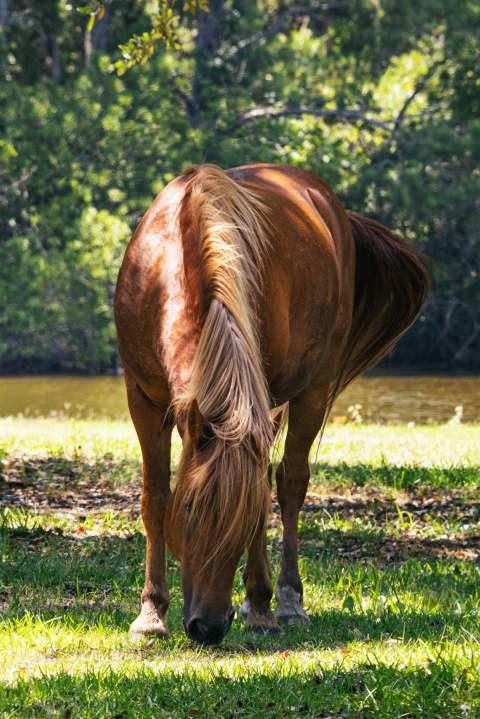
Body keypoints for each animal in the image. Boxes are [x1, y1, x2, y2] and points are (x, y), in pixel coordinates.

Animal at [114, 163, 429, 645]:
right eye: (189, 509)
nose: (208, 627)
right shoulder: (143, 397)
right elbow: (155, 497)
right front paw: (150, 613)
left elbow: (263, 495)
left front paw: (261, 606)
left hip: (311, 391)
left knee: (289, 483)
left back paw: (285, 601)